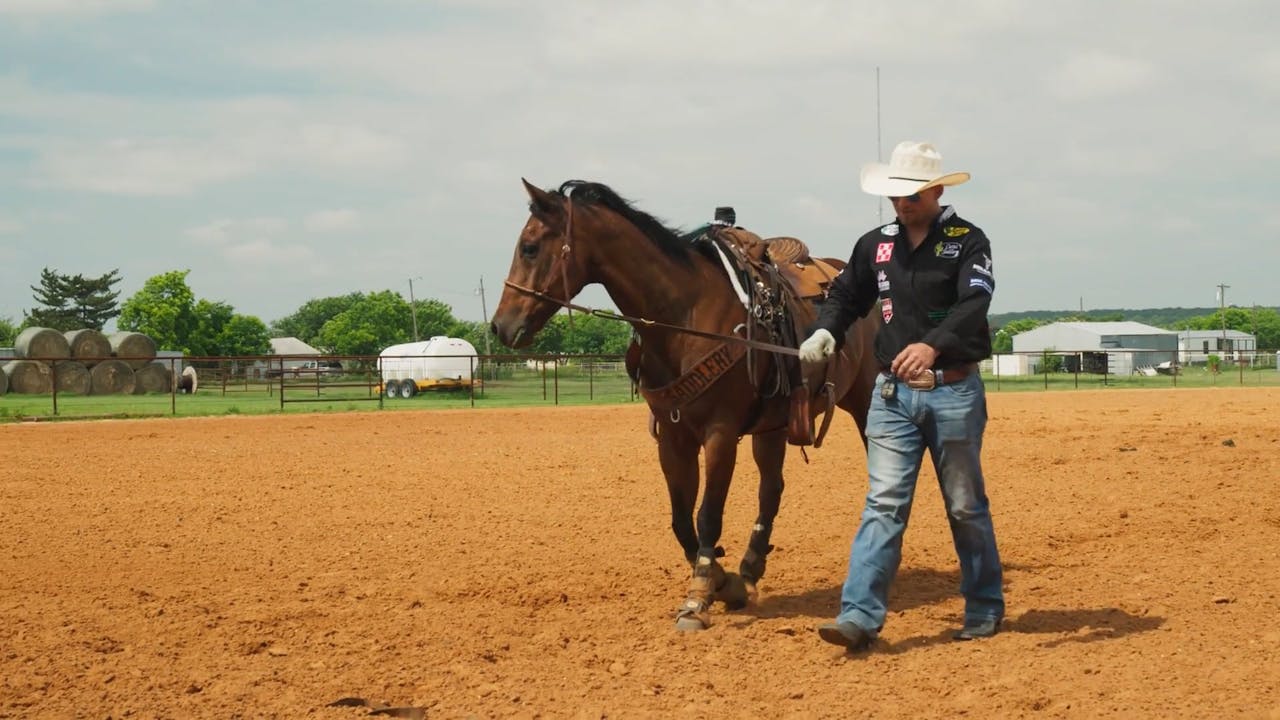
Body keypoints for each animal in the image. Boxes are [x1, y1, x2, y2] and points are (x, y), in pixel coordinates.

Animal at [490, 179, 879, 631]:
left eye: (530, 247)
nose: (500, 326)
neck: (684, 315)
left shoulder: (720, 434)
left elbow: (707, 514)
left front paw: (698, 598)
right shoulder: (673, 437)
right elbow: (680, 519)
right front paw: (723, 582)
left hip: (865, 402)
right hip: (773, 426)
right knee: (771, 488)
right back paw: (750, 568)